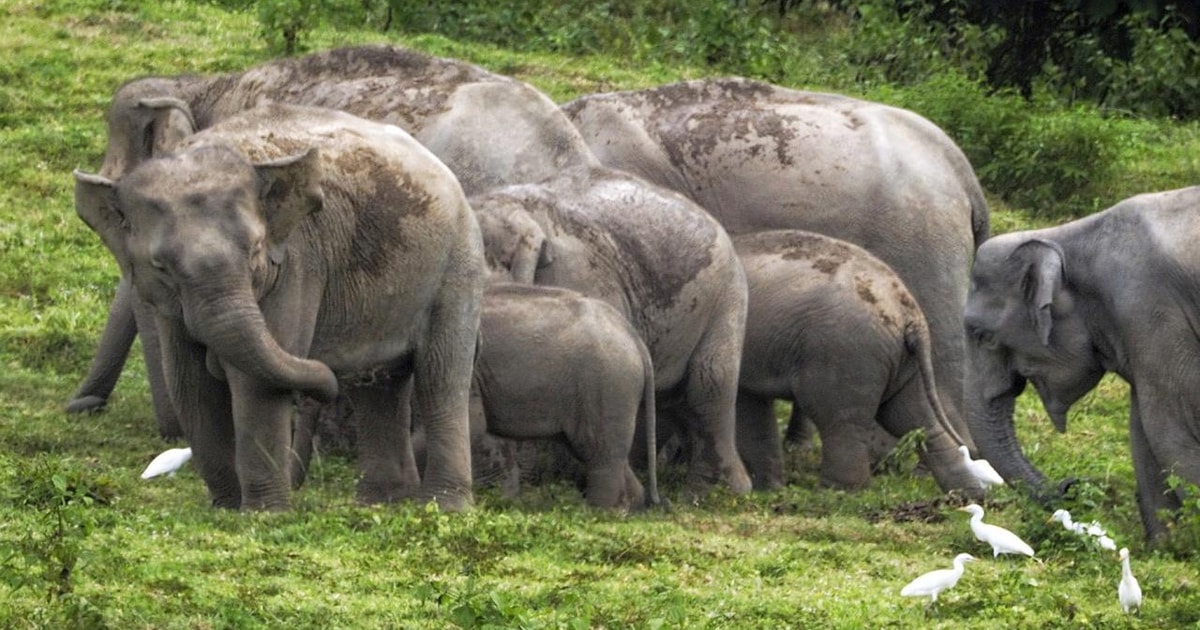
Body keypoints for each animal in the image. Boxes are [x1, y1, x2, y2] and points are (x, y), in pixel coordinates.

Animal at [73, 103, 485, 511]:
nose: (322, 386)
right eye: (160, 266)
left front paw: (263, 514)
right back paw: (383, 502)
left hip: (457, 266)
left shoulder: (298, 262)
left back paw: (443, 507)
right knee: (378, 384)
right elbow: (190, 381)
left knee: (441, 377)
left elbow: (257, 385)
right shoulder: (167, 302)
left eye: (255, 249)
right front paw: (227, 508)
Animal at [467, 283, 659, 509]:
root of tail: (634, 338)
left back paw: (599, 511)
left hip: (607, 382)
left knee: (599, 451)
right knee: (602, 452)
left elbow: (474, 424)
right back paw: (631, 507)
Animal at [732, 231, 982, 496]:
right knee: (912, 418)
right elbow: (750, 405)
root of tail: (908, 310)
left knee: (840, 420)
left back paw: (837, 493)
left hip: (844, 353)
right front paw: (767, 489)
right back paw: (966, 493)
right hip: (904, 362)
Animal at [963, 186, 1200, 541]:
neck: (1068, 236)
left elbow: (1172, 431)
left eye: (983, 336)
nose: (1071, 484)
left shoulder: (1153, 312)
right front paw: (1166, 546)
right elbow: (1144, 434)